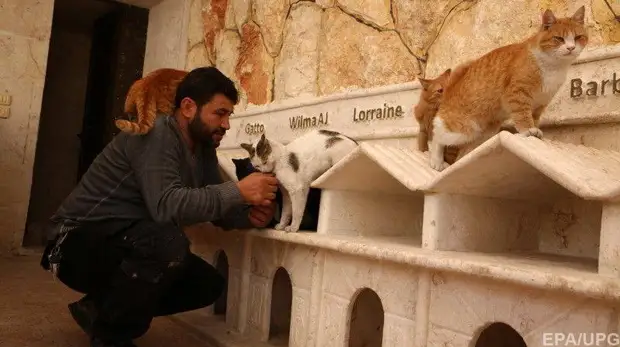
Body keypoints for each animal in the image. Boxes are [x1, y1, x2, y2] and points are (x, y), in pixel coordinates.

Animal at [428, 6, 588, 171]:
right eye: (559, 39)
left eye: (578, 37)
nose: (571, 47)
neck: (554, 67)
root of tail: (451, 87)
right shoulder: (517, 94)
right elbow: (523, 116)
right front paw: (528, 130)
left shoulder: (539, 105)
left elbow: (533, 118)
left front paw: (534, 131)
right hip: (464, 130)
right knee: (436, 136)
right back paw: (436, 161)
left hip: (484, 132)